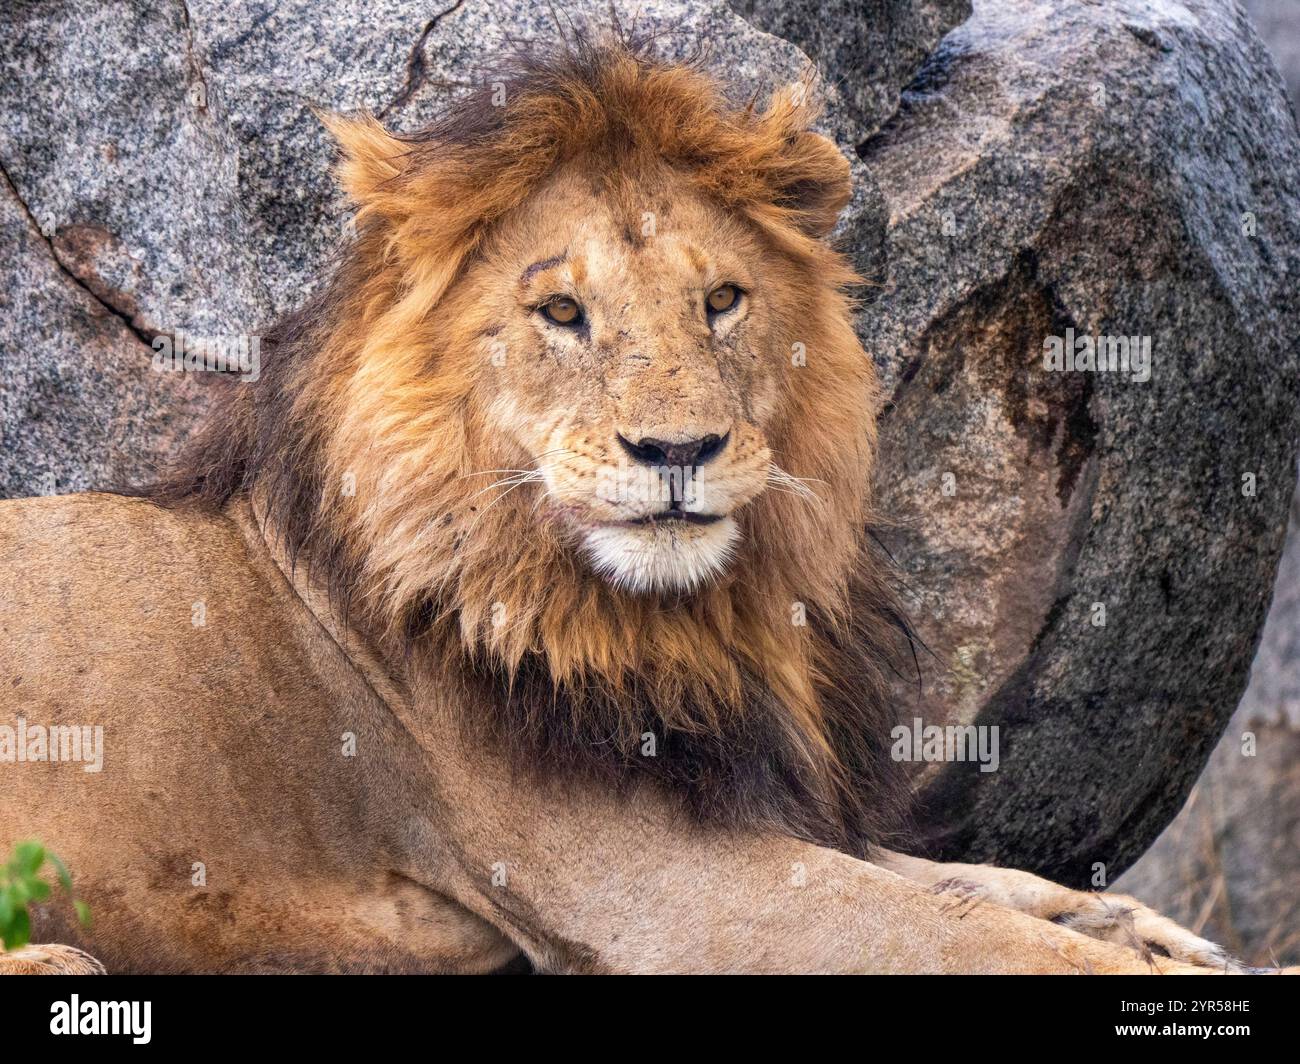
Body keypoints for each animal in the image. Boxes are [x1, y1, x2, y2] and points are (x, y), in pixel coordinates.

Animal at [0, 37, 1267, 974]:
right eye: (562, 312)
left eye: (721, 301)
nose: (678, 448)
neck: (674, 618)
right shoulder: (654, 882)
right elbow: (970, 936)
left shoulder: (732, 807)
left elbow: (975, 884)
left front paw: (1156, 934)